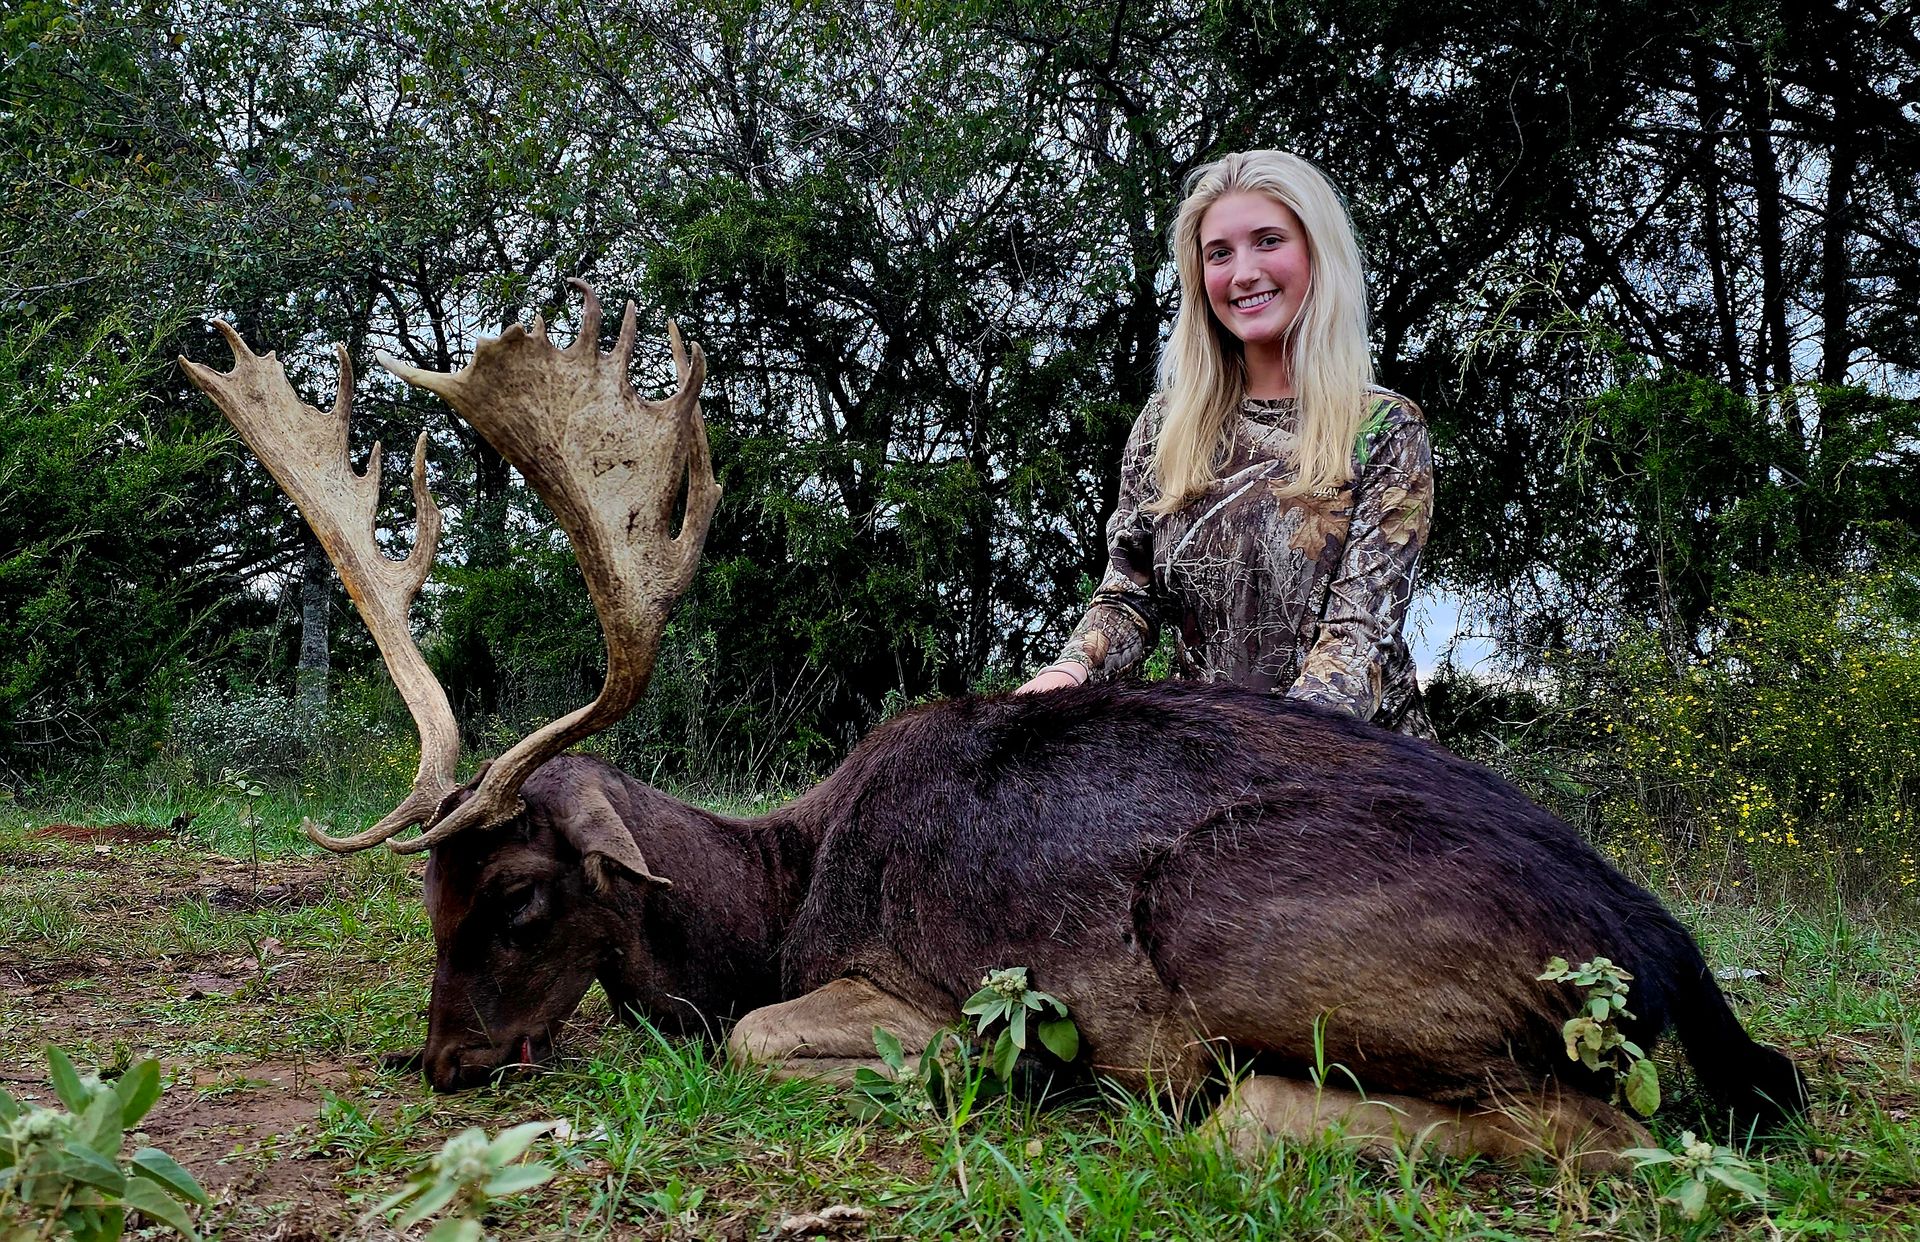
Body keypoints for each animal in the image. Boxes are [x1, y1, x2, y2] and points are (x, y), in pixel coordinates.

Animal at [180, 282, 1807, 1170]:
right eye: (429, 895)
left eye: (522, 895)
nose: (445, 1061)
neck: (771, 898)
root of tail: (1671, 957)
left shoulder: (905, 981)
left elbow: (761, 1040)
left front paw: (1001, 1073)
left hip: (1230, 912)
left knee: (1601, 1126)